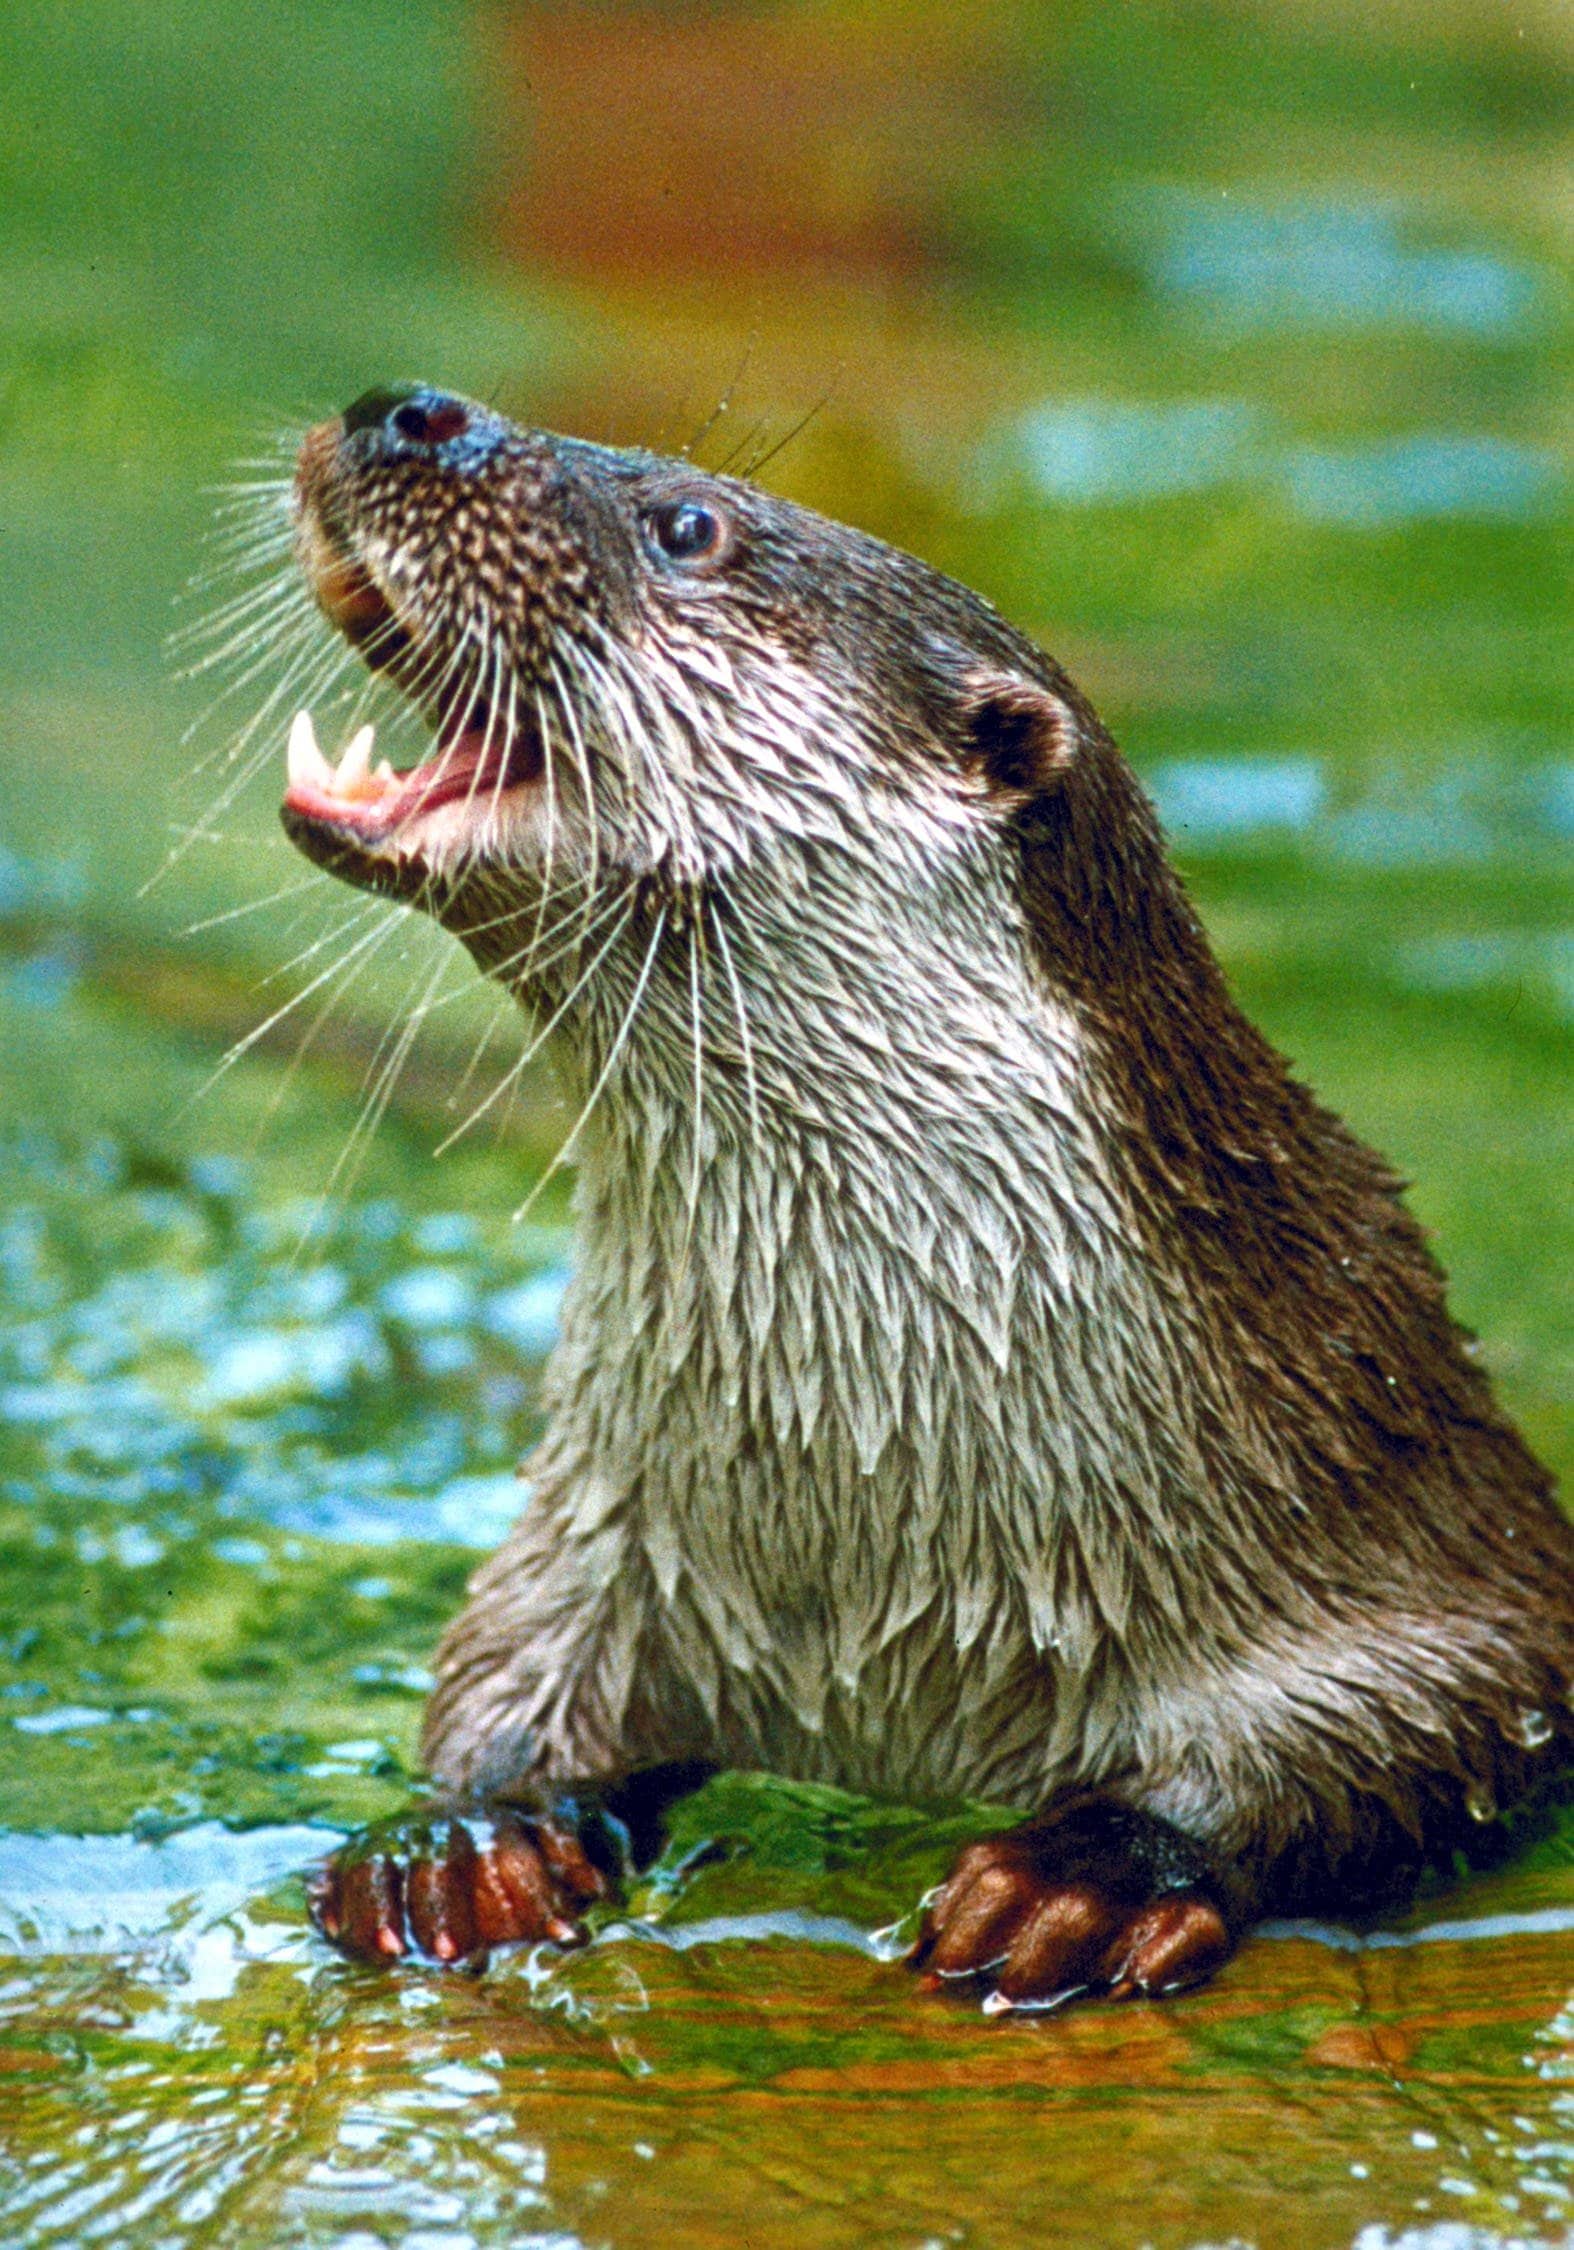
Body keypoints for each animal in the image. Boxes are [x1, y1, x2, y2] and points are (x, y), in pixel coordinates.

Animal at [278, 384, 1573, 2010]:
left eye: (688, 524)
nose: (407, 409)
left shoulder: (1407, 1515)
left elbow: (1445, 1708)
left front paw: (1084, 1873)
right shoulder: (588, 1533)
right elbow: (494, 1670)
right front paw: (464, 1835)